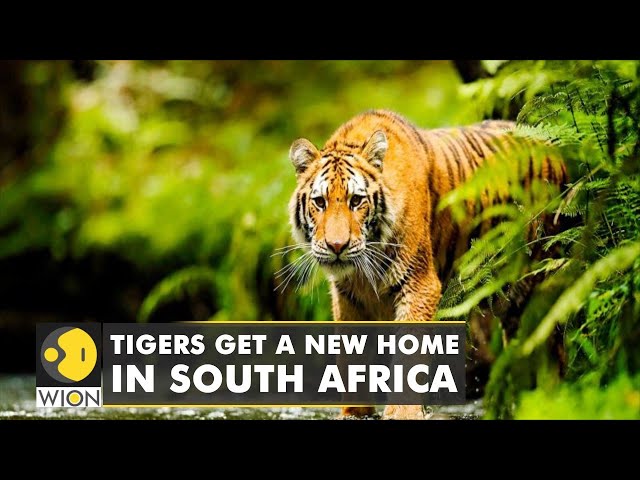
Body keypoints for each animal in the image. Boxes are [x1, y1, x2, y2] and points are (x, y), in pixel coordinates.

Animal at [286, 109, 568, 419]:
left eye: (356, 201)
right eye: (320, 202)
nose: (337, 246)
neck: (363, 270)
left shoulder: (419, 284)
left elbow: (408, 355)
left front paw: (402, 413)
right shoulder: (348, 298)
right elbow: (351, 361)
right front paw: (355, 413)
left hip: (541, 289)